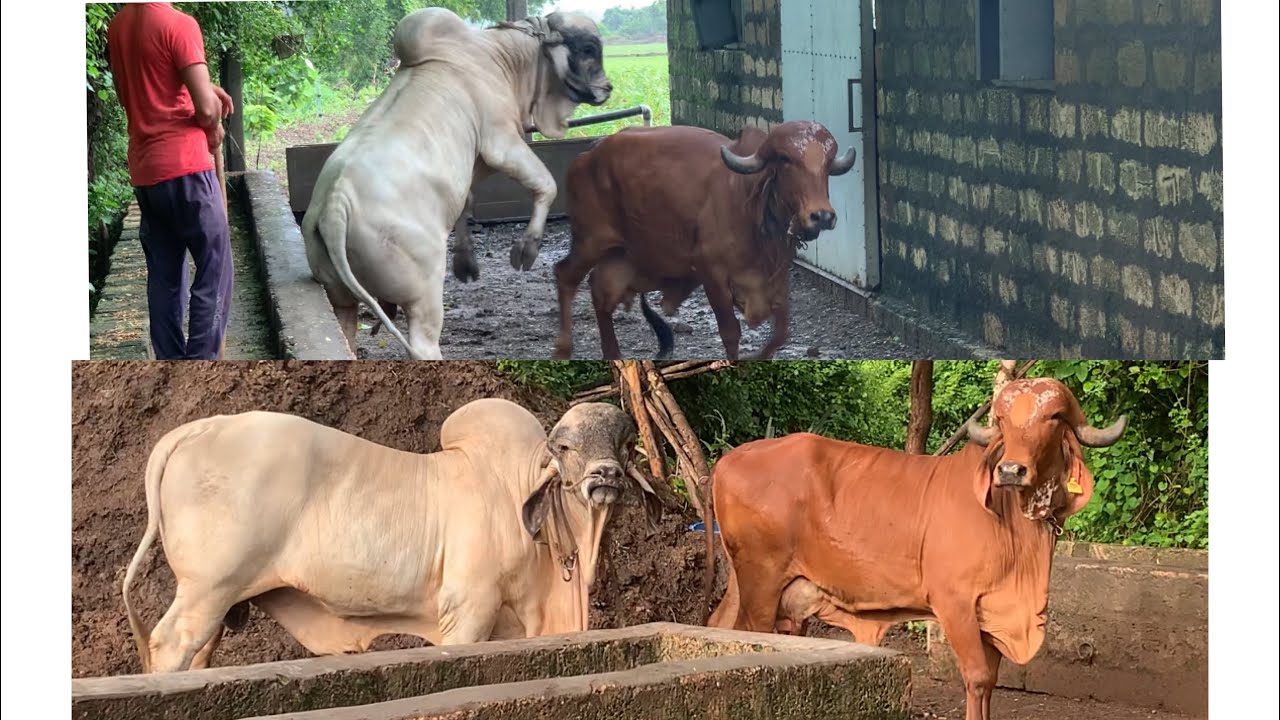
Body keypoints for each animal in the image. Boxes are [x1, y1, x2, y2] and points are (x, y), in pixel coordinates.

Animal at [121, 398, 662, 674]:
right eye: (565, 447)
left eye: (625, 445)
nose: (606, 475)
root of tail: (194, 430)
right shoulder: (469, 607)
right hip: (209, 587)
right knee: (170, 645)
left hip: (219, 599)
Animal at [301, 8, 612, 359]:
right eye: (588, 48)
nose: (608, 87)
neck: (502, 56)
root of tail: (334, 207)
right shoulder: (501, 140)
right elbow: (547, 184)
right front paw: (527, 248)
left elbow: (467, 202)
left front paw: (465, 260)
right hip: (423, 297)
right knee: (422, 343)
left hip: (340, 298)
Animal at [551, 121, 856, 360]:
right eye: (785, 159)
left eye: (827, 163)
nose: (821, 216)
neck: (746, 197)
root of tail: (588, 155)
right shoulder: (712, 274)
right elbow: (730, 332)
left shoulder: (776, 279)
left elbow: (780, 335)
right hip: (592, 241)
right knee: (565, 275)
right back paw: (564, 348)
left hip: (622, 256)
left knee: (601, 292)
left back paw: (612, 353)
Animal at [703, 378, 1127, 720]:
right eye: (1004, 421)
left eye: (1053, 417)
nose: (1010, 471)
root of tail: (729, 458)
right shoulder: (954, 603)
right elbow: (977, 678)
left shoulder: (991, 609)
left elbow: (990, 682)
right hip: (761, 582)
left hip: (746, 580)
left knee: (718, 624)